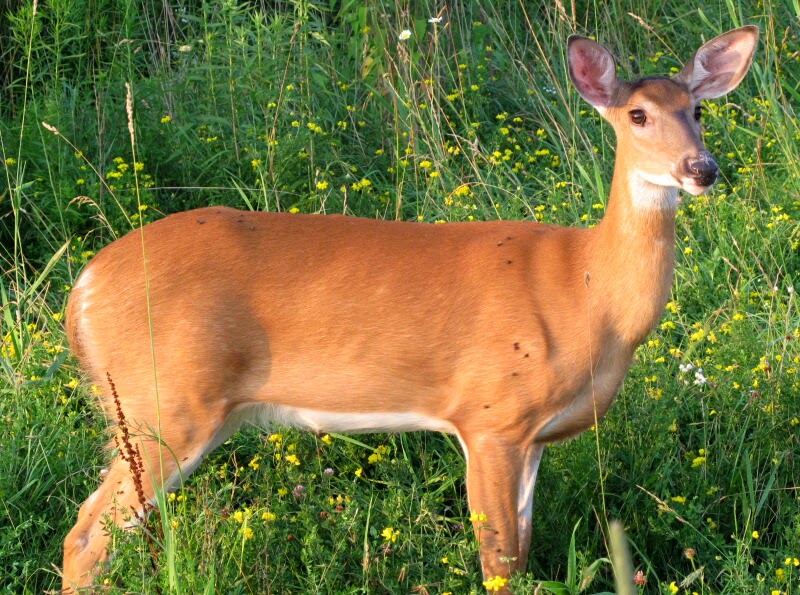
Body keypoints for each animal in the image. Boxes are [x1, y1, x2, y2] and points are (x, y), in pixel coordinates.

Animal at [62, 26, 758, 593]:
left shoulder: (531, 435)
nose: (701, 168)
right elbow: (499, 563)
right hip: (164, 402)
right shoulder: (490, 415)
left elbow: (523, 550)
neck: (588, 291)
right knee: (86, 536)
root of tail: (82, 288)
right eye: (637, 114)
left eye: (698, 110)